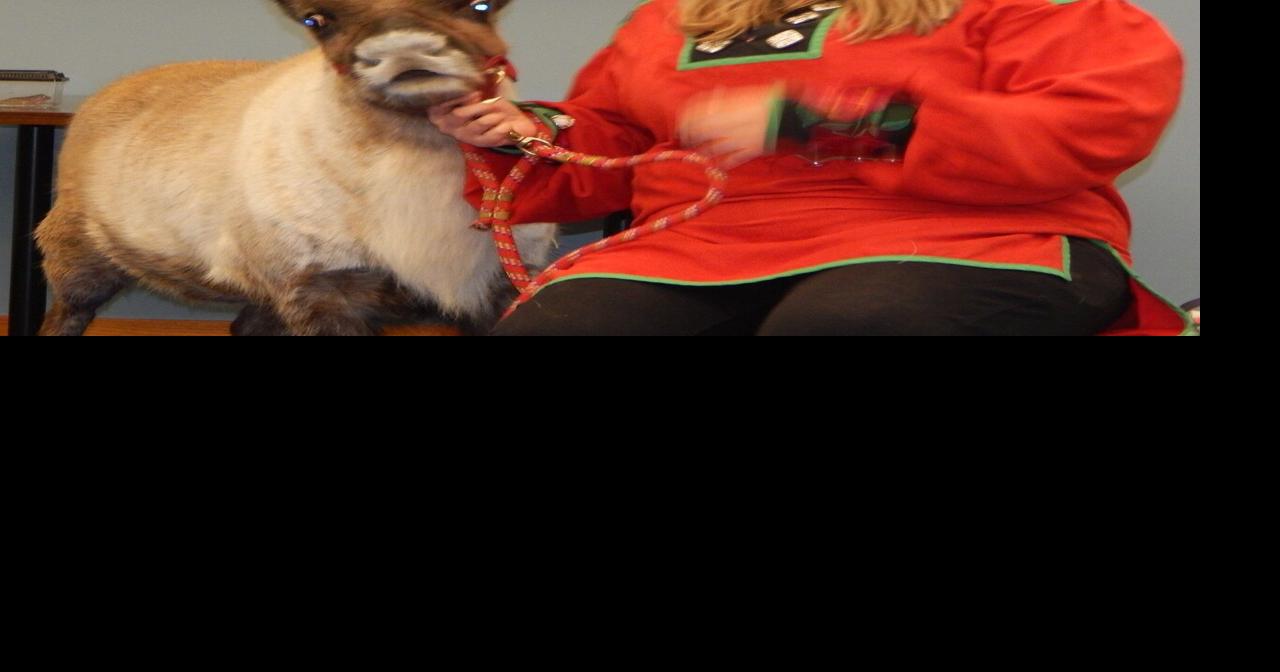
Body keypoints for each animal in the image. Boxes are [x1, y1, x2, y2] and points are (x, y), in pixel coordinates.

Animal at [36, 0, 554, 336]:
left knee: (244, 326)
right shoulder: (321, 290)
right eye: (316, 20)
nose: (405, 52)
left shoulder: (501, 287)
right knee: (63, 316)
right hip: (76, 256)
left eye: (481, 6)